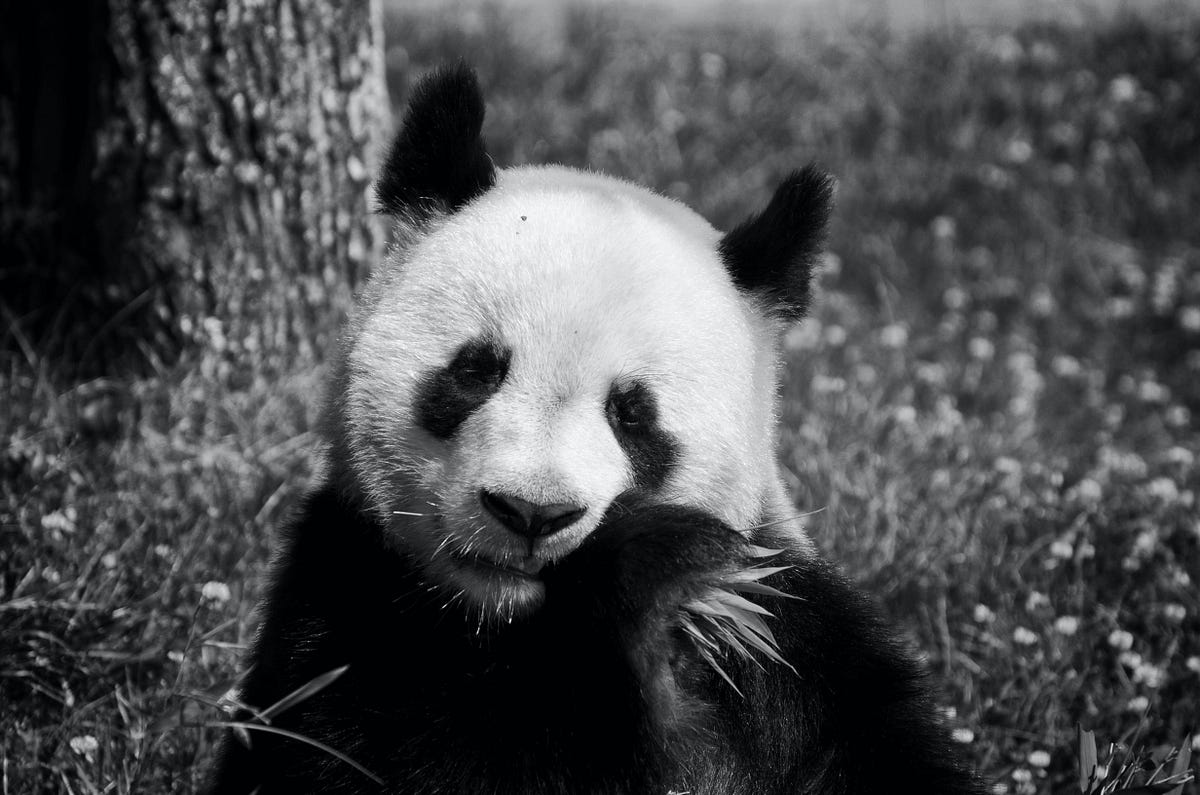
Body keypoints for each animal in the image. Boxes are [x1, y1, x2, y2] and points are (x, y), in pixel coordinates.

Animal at [208, 65, 984, 795]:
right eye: (477, 370)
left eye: (633, 414)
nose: (530, 512)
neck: (509, 617)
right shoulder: (349, 593)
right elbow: (369, 753)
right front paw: (646, 568)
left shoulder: (802, 651)